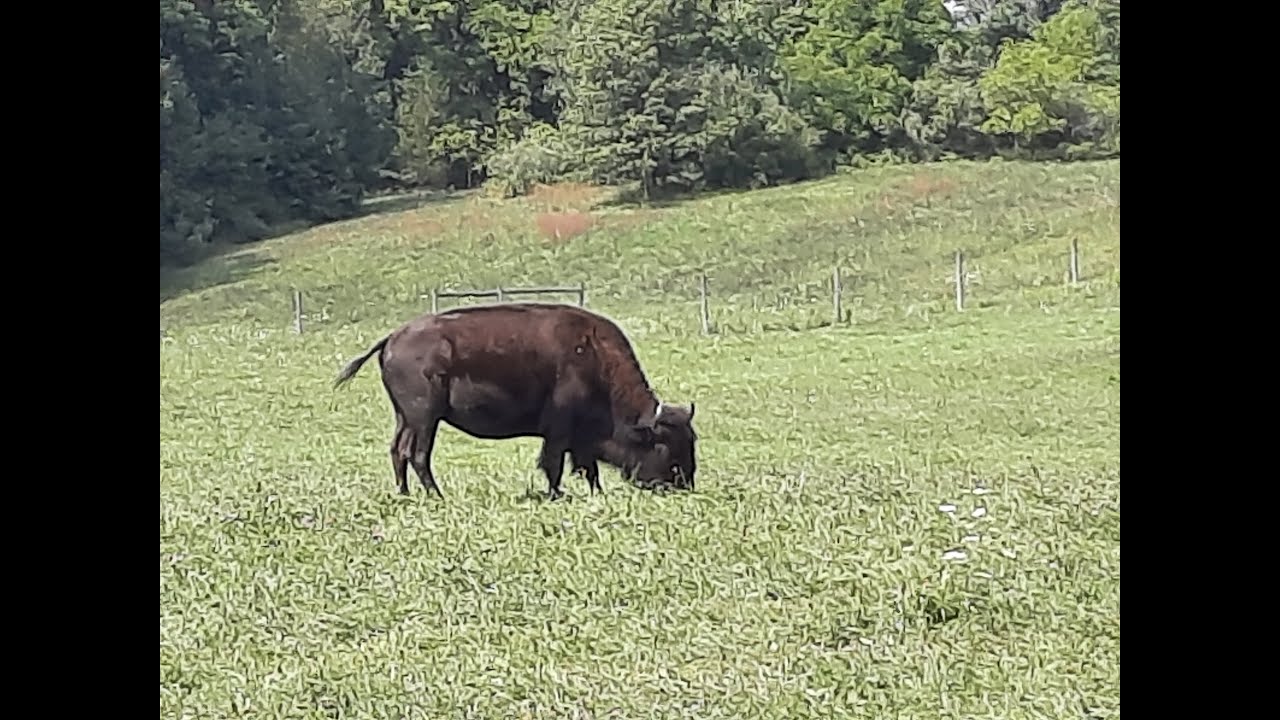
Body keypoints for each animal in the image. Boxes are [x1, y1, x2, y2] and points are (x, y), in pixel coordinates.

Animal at [333, 302, 698, 499]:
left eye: (691, 439)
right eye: (665, 445)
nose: (685, 484)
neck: (593, 354)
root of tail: (391, 339)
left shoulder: (579, 438)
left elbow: (587, 467)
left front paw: (596, 493)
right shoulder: (560, 430)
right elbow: (554, 464)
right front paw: (557, 494)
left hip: (405, 418)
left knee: (399, 451)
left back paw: (405, 494)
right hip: (425, 418)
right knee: (418, 454)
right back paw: (437, 496)